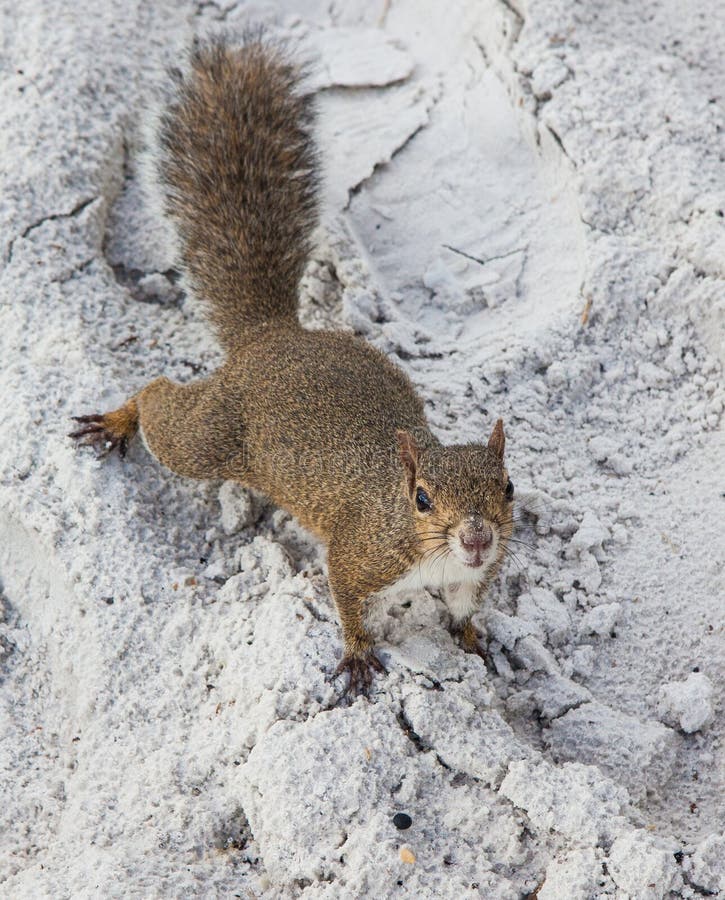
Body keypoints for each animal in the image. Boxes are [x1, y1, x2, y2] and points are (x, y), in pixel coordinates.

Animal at [70, 34, 515, 698]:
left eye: (509, 487)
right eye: (422, 500)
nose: (478, 537)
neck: (432, 556)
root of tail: (269, 336)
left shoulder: (470, 579)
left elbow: (463, 613)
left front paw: (475, 642)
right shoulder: (359, 555)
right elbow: (346, 600)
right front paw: (357, 654)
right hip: (208, 434)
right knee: (159, 401)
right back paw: (120, 419)